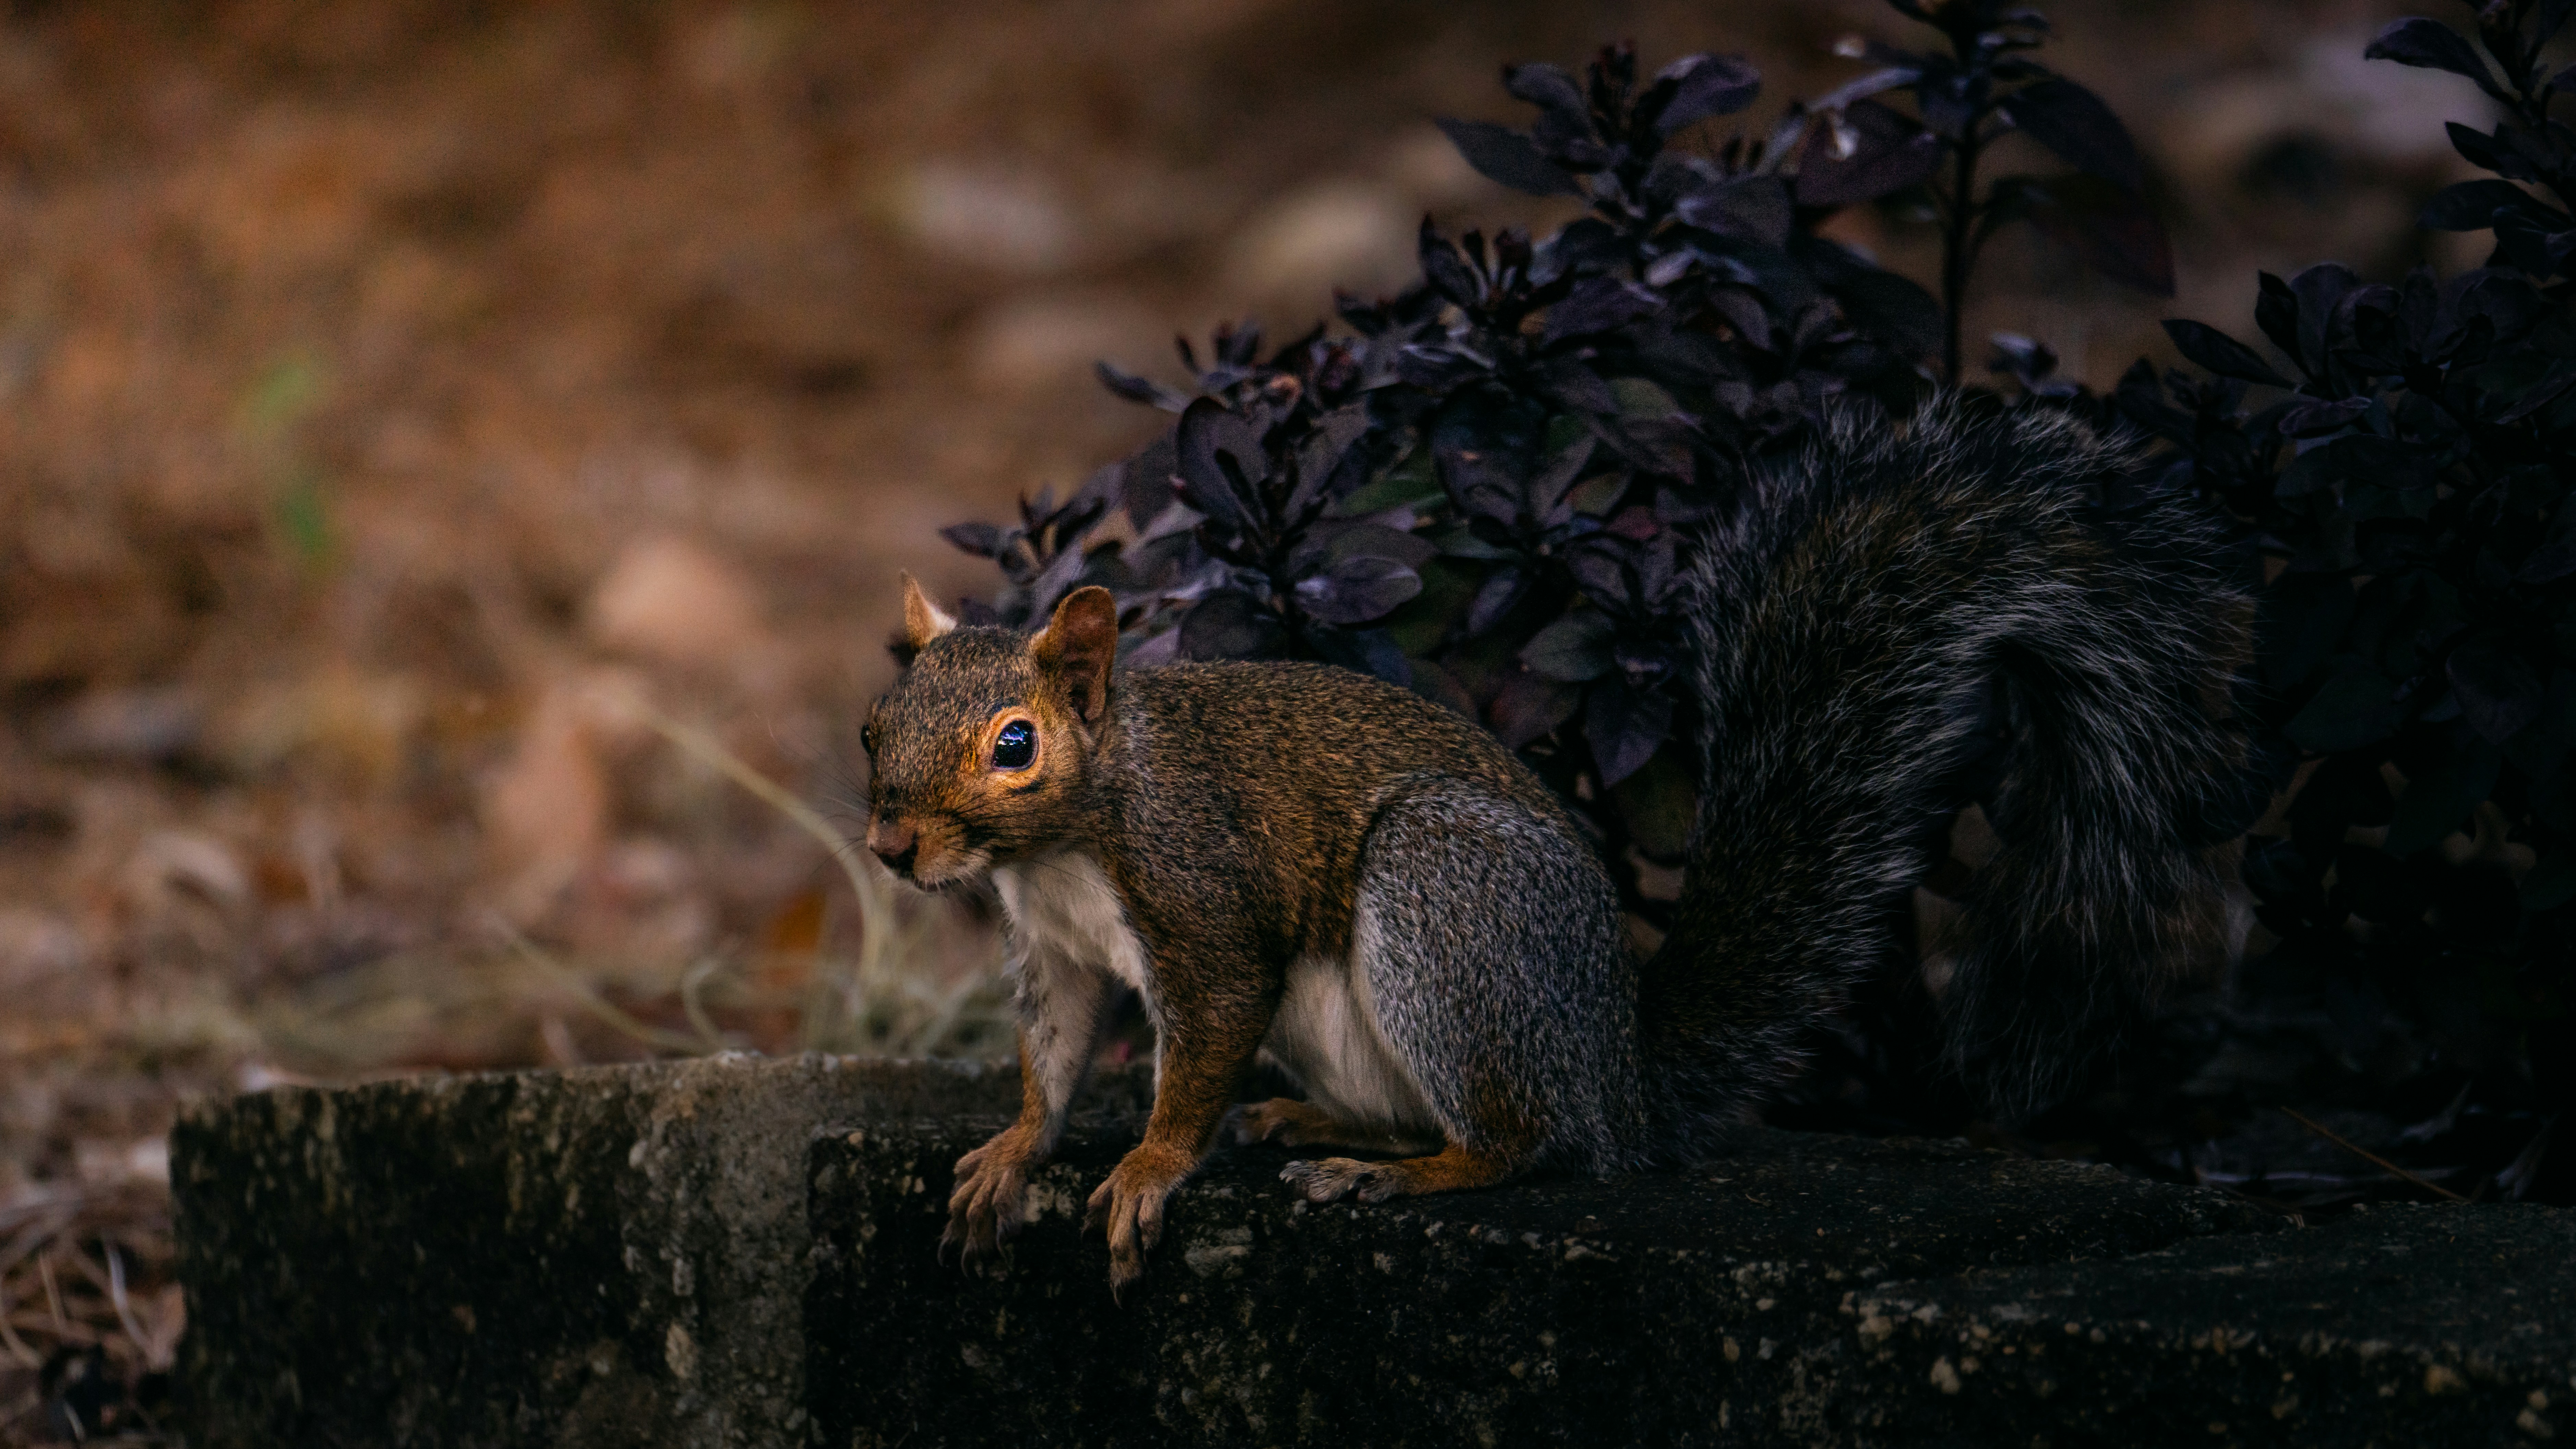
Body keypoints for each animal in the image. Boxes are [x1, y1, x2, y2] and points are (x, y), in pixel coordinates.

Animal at [859, 398, 2255, 1293]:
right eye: (875, 720)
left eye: (1016, 744)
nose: (891, 847)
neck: (1063, 849)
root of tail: (1618, 1070)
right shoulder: (1059, 952)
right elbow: (1051, 1053)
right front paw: (1013, 1151)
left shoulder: (1199, 901)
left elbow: (1198, 1041)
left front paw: (1150, 1164)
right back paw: (1323, 1127)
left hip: (1447, 897)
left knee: (1534, 1139)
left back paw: (1414, 1174)